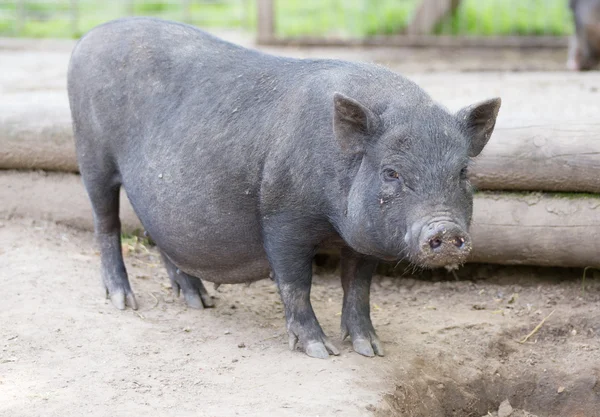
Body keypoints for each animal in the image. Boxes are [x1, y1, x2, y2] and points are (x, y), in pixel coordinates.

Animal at [67, 17, 502, 358]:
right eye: (391, 172)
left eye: (463, 171)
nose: (445, 229)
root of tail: (88, 38)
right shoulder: (281, 217)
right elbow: (296, 284)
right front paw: (320, 351)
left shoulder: (364, 237)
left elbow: (358, 287)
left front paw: (371, 349)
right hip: (92, 156)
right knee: (106, 224)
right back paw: (124, 301)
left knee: (159, 236)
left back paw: (199, 302)